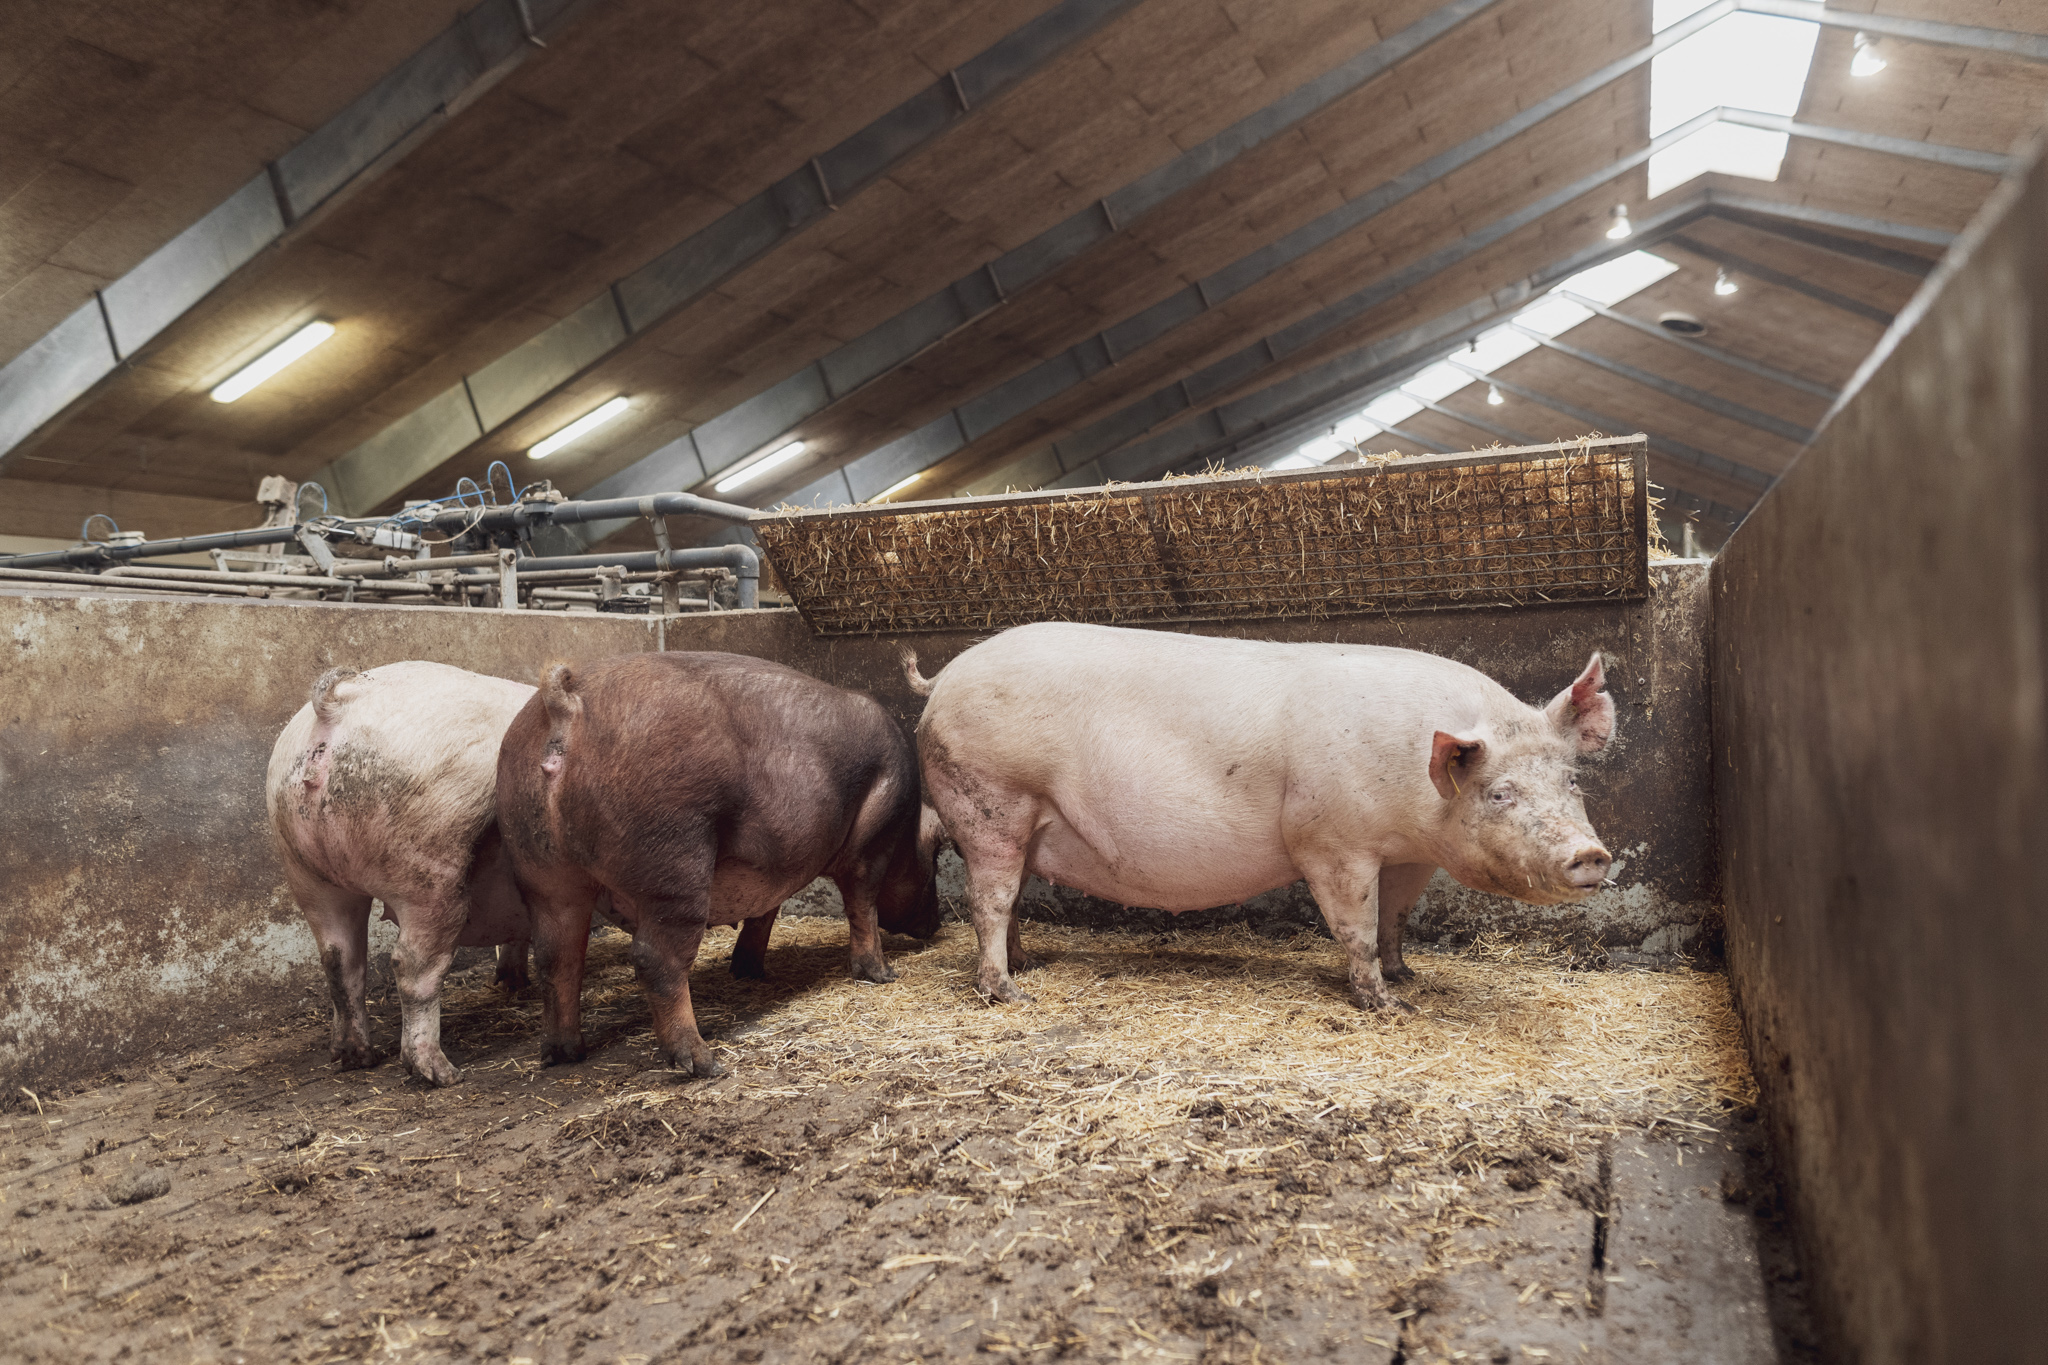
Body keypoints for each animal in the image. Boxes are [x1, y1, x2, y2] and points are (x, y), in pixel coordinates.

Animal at [267, 661, 535, 1086]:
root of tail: (336, 708)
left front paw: (514, 983)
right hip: (431, 870)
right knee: (410, 966)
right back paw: (440, 1073)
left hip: (306, 872)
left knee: (339, 961)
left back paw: (355, 1056)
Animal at [494, 652, 943, 1077]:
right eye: (935, 861)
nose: (936, 926)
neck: (905, 829)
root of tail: (565, 703)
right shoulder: (872, 843)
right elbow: (862, 903)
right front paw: (883, 975)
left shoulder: (771, 867)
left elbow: (765, 912)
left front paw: (748, 971)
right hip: (674, 858)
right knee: (654, 960)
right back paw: (705, 1064)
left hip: (540, 870)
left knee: (556, 958)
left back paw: (563, 1054)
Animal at [903, 622, 1615, 1011]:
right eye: (1499, 793)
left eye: (1572, 780)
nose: (1591, 854)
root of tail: (939, 682)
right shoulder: (1331, 840)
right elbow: (1357, 927)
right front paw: (1387, 1004)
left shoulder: (1409, 855)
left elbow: (1395, 919)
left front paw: (1407, 975)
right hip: (991, 801)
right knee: (991, 899)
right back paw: (1009, 992)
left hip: (1018, 823)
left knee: (1013, 898)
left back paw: (1026, 965)